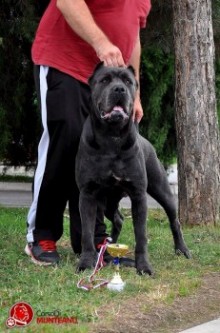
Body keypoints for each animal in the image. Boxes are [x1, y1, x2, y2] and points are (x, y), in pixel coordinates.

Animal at [75, 63, 190, 274]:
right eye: (105, 80)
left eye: (128, 81)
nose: (119, 89)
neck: (111, 137)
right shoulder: (87, 194)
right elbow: (86, 233)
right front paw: (86, 263)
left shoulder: (138, 195)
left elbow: (141, 235)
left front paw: (143, 266)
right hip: (107, 201)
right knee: (118, 219)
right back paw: (109, 247)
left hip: (162, 191)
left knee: (174, 221)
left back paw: (182, 249)